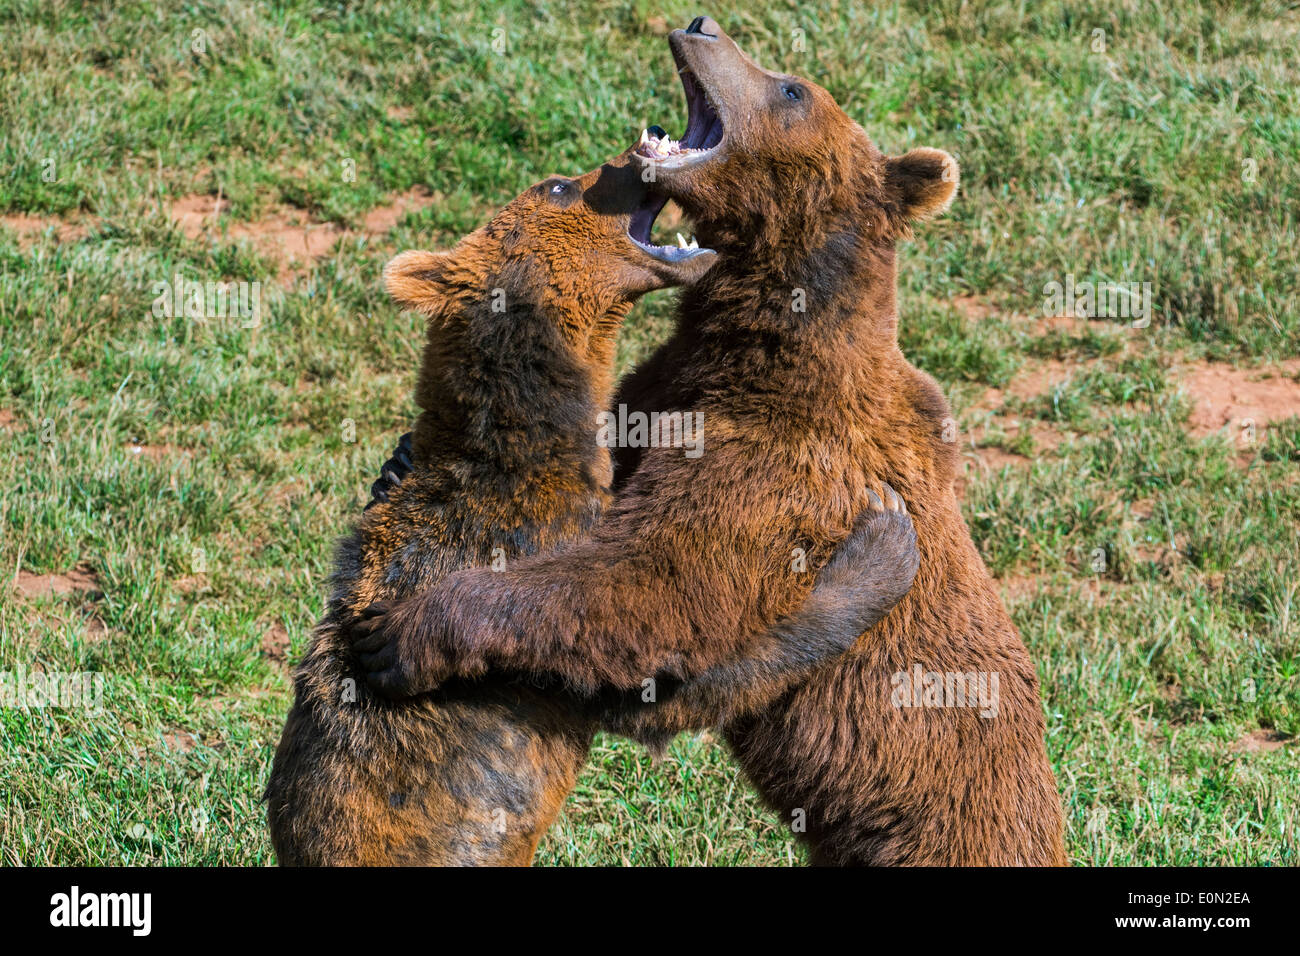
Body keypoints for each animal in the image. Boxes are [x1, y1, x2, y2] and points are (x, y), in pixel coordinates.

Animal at [347, 17, 1067, 866]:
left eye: (791, 88)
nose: (701, 26)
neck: (757, 342)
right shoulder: (669, 392)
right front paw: (400, 462)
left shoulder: (781, 464)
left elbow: (654, 583)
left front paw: (401, 632)